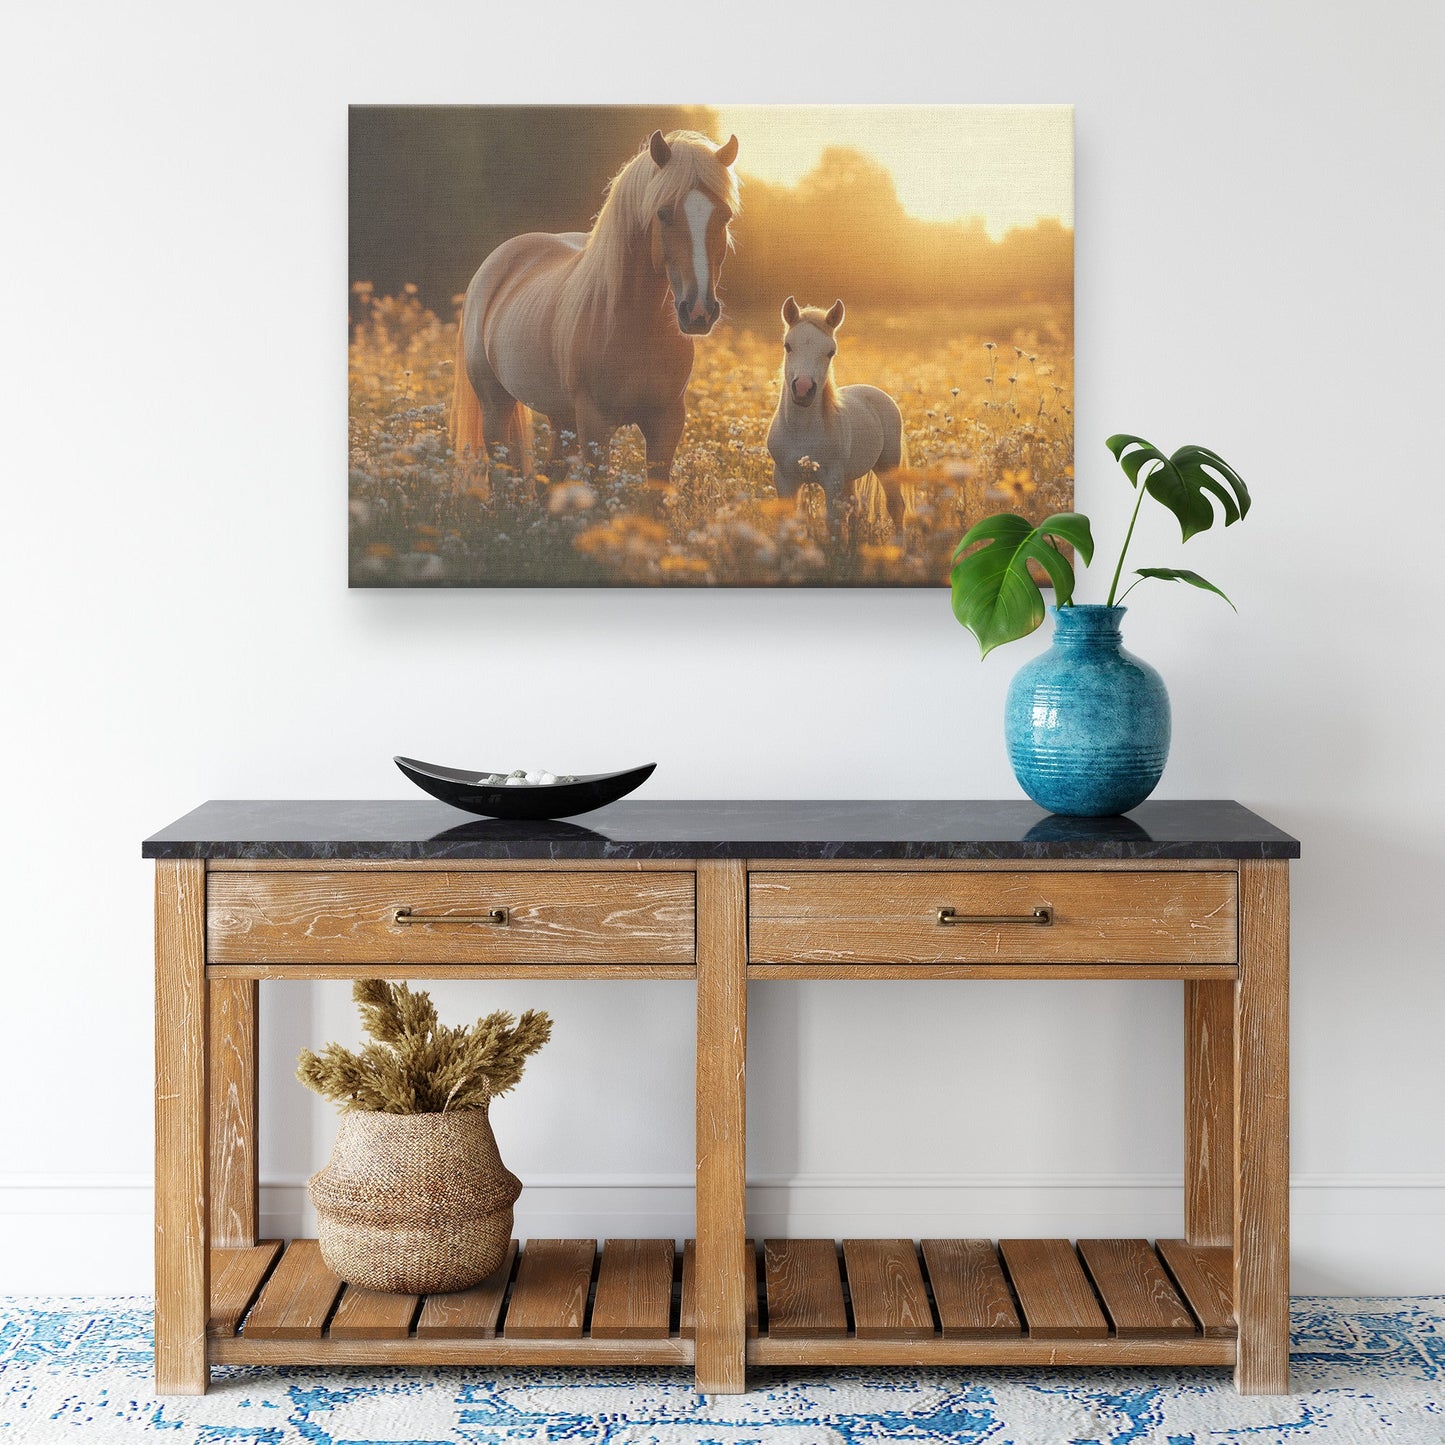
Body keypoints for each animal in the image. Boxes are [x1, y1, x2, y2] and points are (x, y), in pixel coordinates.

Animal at [450, 129, 739, 487]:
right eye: (663, 213)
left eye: (724, 215)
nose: (699, 311)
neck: (637, 328)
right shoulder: (595, 424)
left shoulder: (667, 422)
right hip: (496, 406)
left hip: (562, 420)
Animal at [766, 296, 909, 531]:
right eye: (788, 346)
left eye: (830, 352)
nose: (803, 389)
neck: (801, 430)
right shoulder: (784, 479)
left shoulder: (832, 481)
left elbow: (833, 524)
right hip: (850, 478)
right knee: (854, 510)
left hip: (887, 466)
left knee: (896, 507)